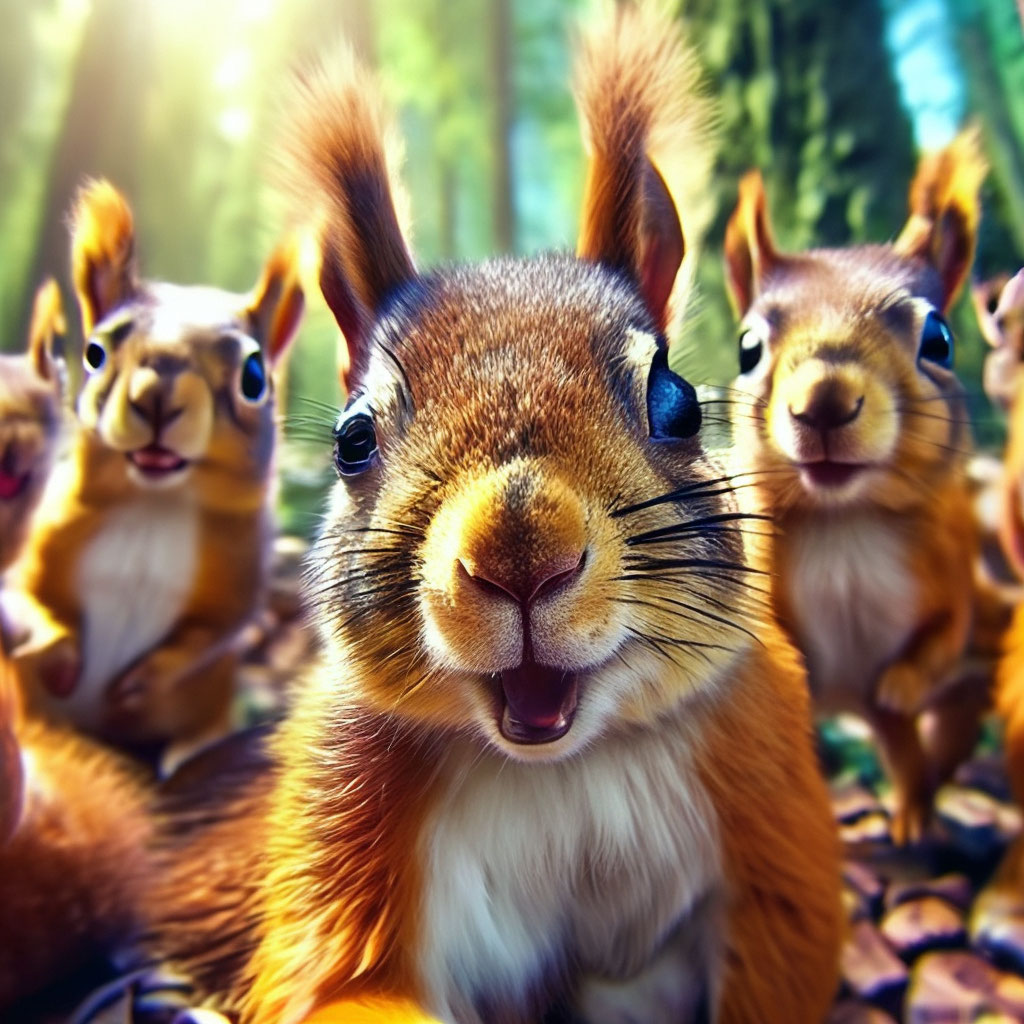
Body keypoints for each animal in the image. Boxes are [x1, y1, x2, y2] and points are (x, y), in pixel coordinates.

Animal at [6, 181, 304, 772]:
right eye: (95, 352)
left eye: (254, 376)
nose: (158, 396)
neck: (156, 504)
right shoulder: (50, 530)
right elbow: (28, 591)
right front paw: (61, 649)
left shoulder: (239, 575)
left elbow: (214, 631)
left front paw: (139, 684)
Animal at [141, 7, 841, 1023]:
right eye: (353, 438)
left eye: (675, 402)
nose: (521, 555)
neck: (562, 769)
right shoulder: (341, 819)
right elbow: (336, 987)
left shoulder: (766, 805)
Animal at [723, 130, 988, 844]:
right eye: (747, 347)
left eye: (941, 339)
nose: (824, 401)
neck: (847, 519)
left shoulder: (953, 568)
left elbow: (945, 633)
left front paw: (902, 680)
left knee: (913, 751)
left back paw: (916, 817)